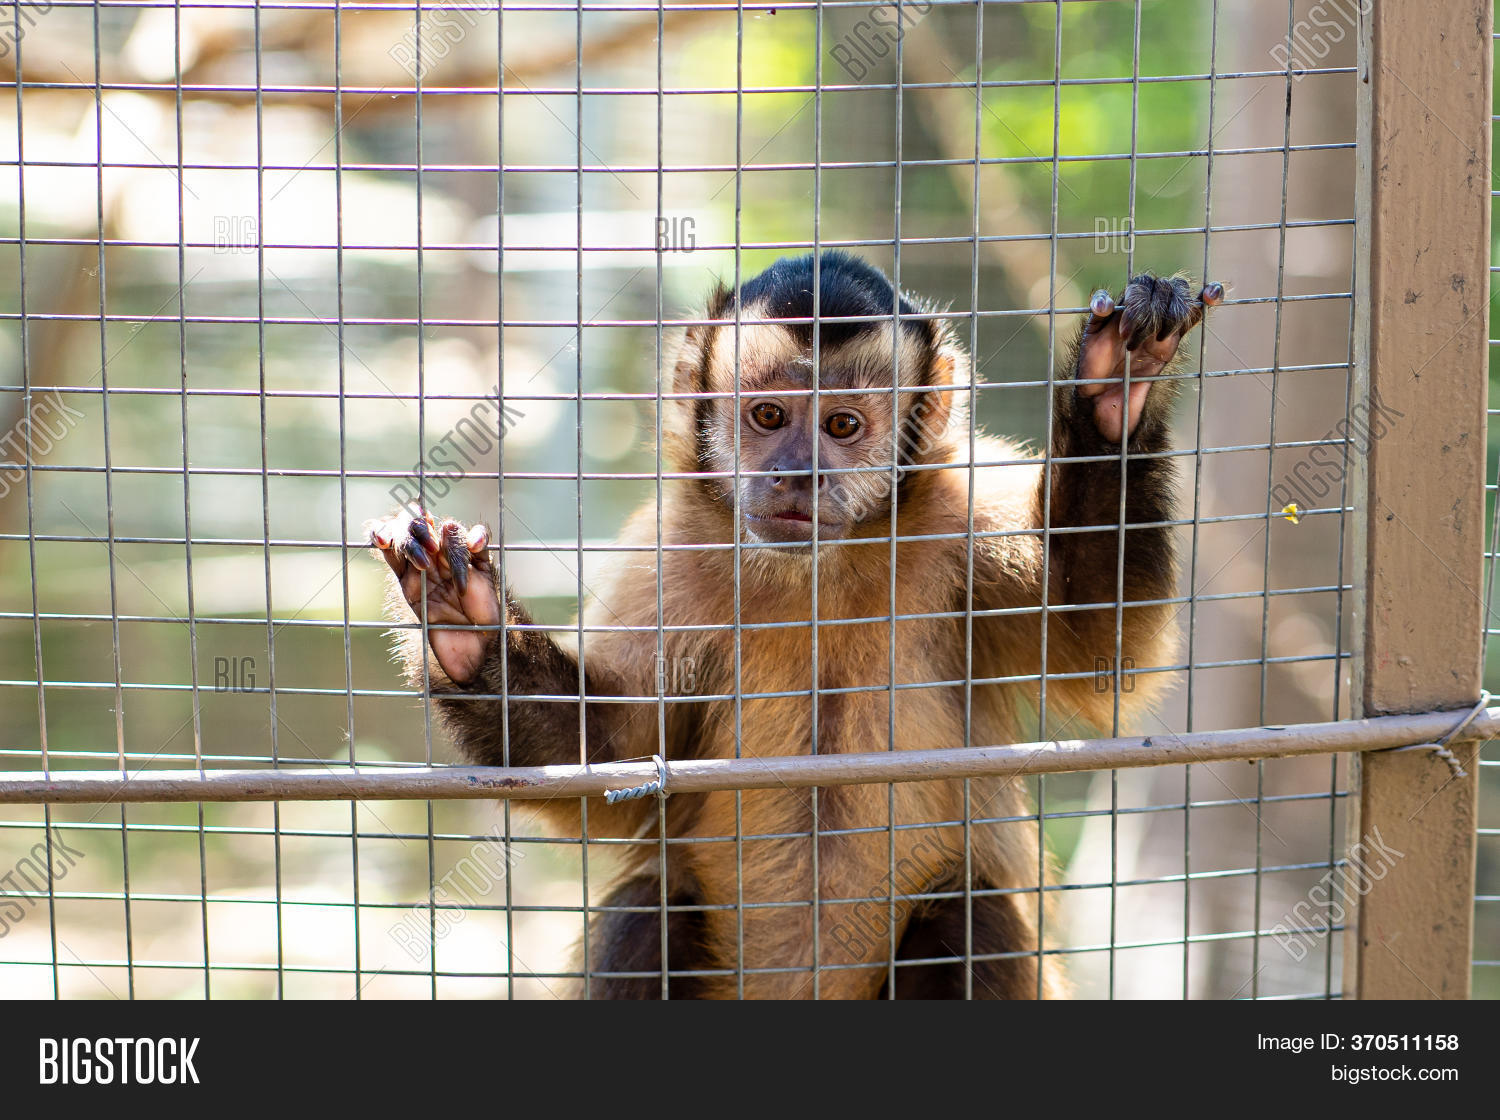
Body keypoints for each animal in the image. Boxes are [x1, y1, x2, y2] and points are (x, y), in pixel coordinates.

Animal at [369, 250, 1222, 999]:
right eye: (770, 416)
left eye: (842, 426)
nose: (798, 473)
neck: (816, 573)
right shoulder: (668, 552)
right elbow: (608, 757)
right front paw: (466, 628)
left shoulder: (965, 515)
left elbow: (1101, 645)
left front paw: (1116, 396)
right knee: (646, 913)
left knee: (971, 918)